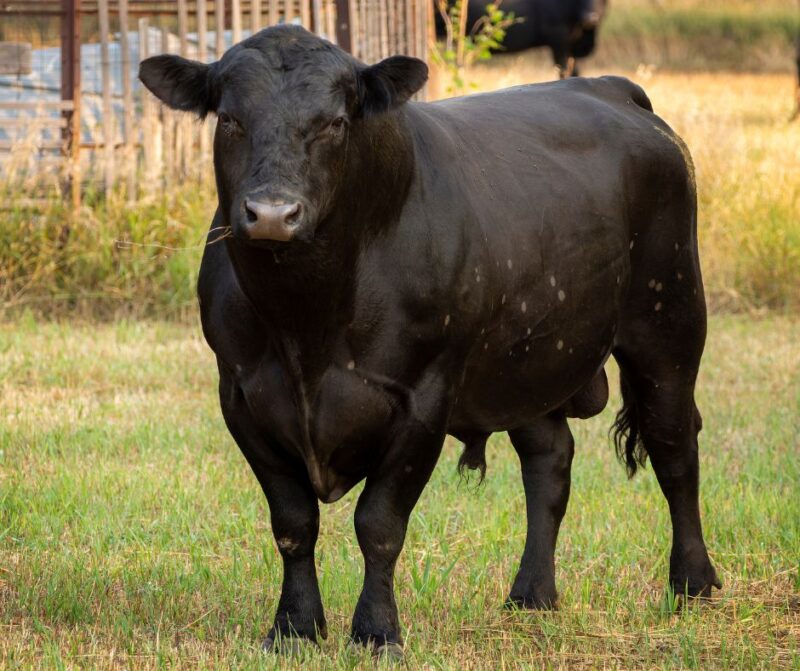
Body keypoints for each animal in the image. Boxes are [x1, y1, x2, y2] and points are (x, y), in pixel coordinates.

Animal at [139, 25, 720, 659]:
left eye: (335, 122)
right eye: (229, 119)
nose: (272, 214)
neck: (306, 326)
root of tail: (612, 88)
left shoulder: (422, 399)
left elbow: (379, 523)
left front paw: (376, 632)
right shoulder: (242, 397)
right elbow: (293, 524)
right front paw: (294, 629)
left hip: (668, 322)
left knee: (673, 446)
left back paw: (693, 583)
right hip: (524, 361)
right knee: (549, 461)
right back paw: (532, 594)